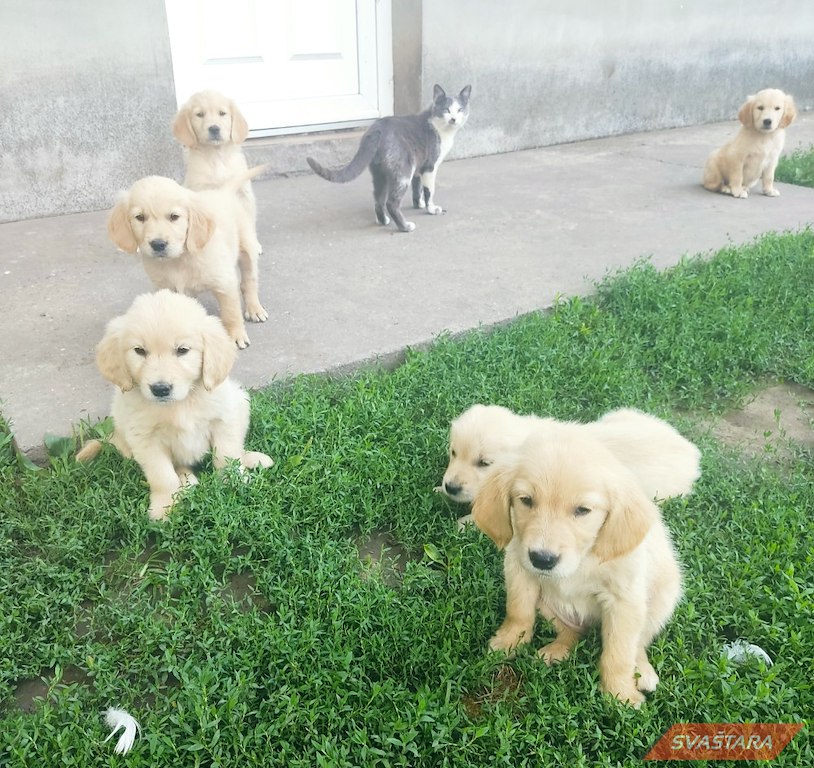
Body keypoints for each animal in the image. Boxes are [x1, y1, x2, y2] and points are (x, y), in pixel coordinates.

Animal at [77, 290, 274, 520]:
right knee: (179, 467)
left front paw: (235, 481)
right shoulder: (145, 440)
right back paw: (188, 481)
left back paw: (253, 458)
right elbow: (162, 476)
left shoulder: (224, 419)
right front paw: (163, 507)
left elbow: (227, 455)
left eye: (182, 350)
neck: (182, 403)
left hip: (240, 401)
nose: (160, 389)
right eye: (139, 351)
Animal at [106, 171, 268, 348]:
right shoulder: (166, 287)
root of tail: (222, 192)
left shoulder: (224, 282)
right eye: (140, 217)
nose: (158, 244)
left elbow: (231, 312)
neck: (179, 259)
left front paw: (235, 335)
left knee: (249, 282)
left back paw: (254, 309)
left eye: (174, 217)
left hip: (247, 249)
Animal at [306, 84, 472, 232]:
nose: (453, 119)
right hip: (403, 172)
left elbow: (417, 188)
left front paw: (419, 204)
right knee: (391, 203)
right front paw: (431, 208)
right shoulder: (430, 167)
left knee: (378, 199)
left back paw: (383, 220)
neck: (441, 129)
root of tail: (376, 129)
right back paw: (405, 227)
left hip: (380, 173)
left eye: (460, 109)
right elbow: (429, 191)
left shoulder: (419, 167)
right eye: (446, 110)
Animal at [474, 426, 684, 708]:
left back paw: (643, 671)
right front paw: (508, 642)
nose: (542, 559)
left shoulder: (624, 600)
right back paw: (556, 651)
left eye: (583, 510)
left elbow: (619, 652)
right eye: (526, 500)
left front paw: (620, 694)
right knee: (572, 632)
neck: (583, 558)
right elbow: (518, 611)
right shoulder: (519, 568)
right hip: (550, 607)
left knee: (639, 641)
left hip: (662, 600)